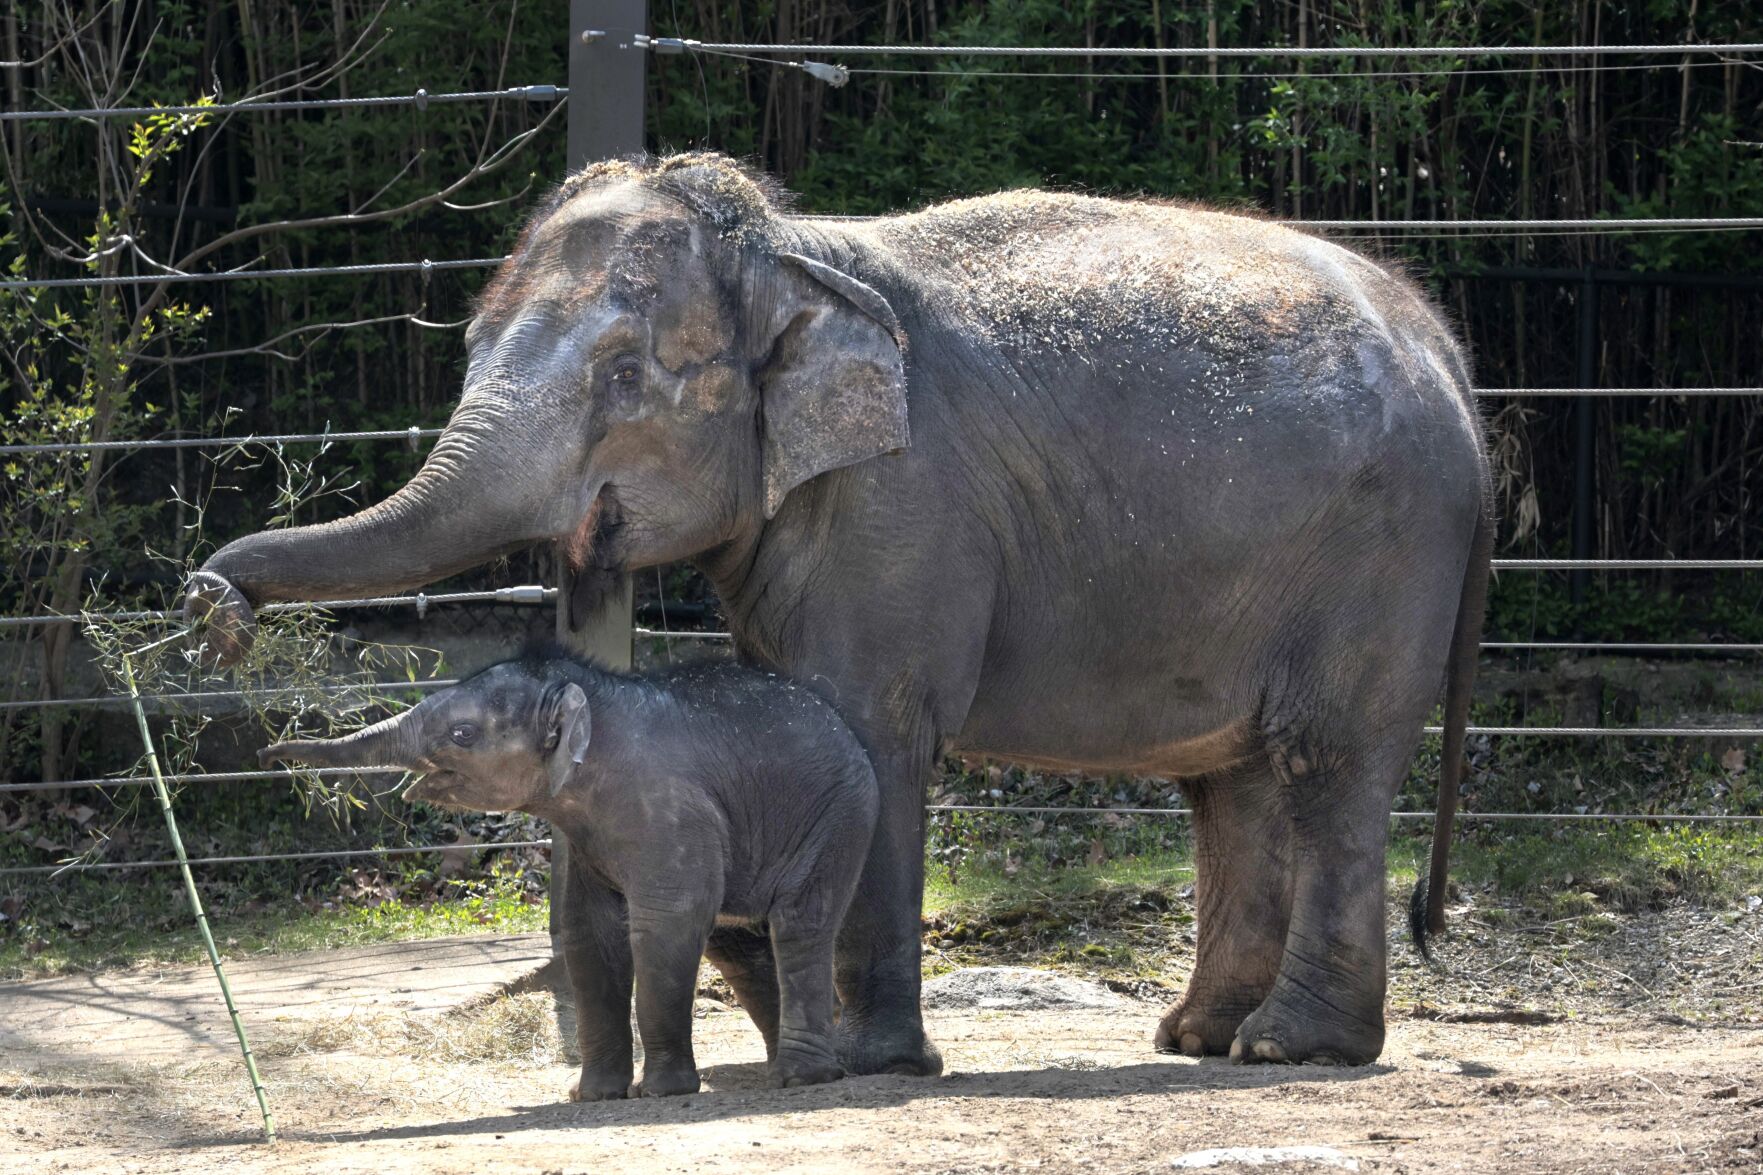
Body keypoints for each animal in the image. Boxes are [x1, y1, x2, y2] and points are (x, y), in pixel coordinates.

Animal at [260, 650, 878, 1098]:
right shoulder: (586, 837)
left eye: (462, 734)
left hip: (839, 815)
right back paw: (780, 1068)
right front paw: (594, 1096)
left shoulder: (670, 814)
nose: (269, 752)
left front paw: (661, 1093)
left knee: (799, 924)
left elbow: (666, 924)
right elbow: (590, 933)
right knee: (740, 945)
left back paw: (802, 1077)